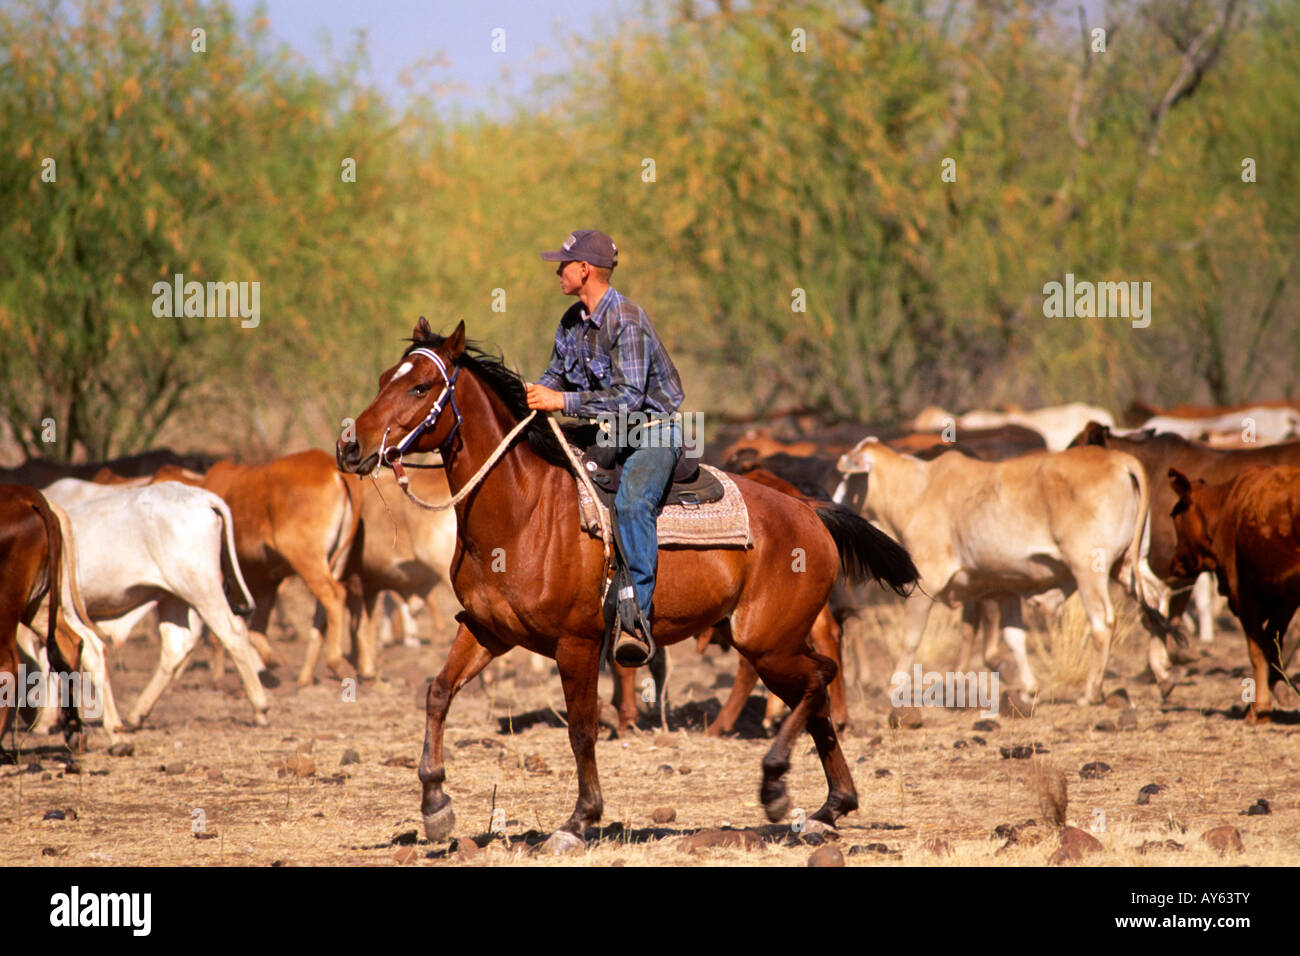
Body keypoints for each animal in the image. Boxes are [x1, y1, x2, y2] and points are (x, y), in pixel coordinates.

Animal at [42, 479, 270, 729]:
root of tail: (201, 496)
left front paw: (44, 720)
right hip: (173, 596)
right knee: (176, 647)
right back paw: (137, 713)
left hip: (201, 588)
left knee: (232, 632)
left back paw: (260, 708)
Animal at [337, 318, 918, 847]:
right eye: (386, 378)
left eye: (420, 387)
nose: (350, 446)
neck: (525, 512)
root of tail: (810, 511)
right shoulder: (486, 630)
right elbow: (438, 693)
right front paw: (435, 805)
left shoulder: (576, 643)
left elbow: (581, 729)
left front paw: (578, 821)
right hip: (771, 643)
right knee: (817, 695)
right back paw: (830, 808)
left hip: (769, 641)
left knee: (821, 678)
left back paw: (776, 785)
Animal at [836, 439, 1175, 704]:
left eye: (848, 478)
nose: (836, 504)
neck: (917, 491)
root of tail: (1117, 458)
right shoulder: (1007, 589)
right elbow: (1015, 639)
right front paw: (1028, 688)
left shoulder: (927, 580)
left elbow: (910, 638)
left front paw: (894, 685)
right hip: (1127, 565)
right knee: (1157, 599)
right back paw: (1163, 674)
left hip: (1088, 569)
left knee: (1103, 623)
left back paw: (1091, 692)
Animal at [1169, 466, 1300, 724]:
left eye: (1175, 518)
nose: (1174, 564)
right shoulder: (1285, 598)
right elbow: (1271, 647)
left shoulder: (1244, 594)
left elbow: (1257, 651)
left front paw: (1258, 710)